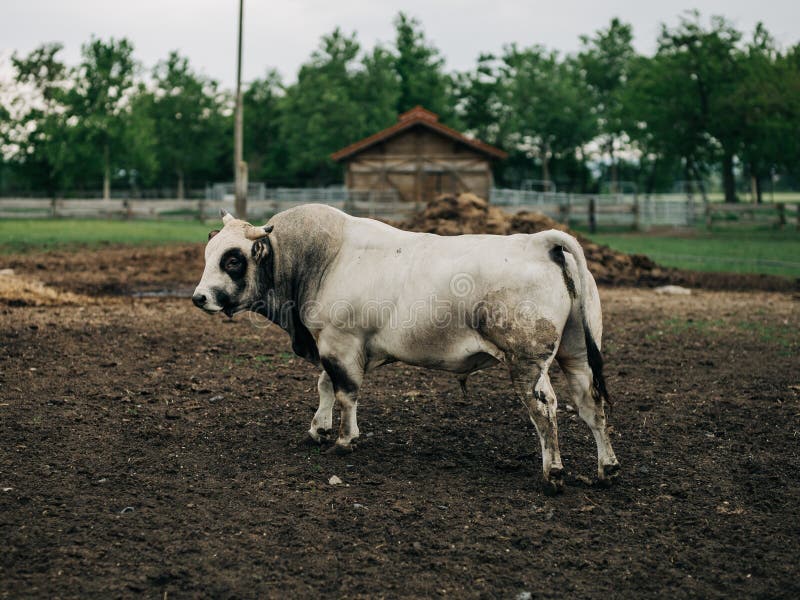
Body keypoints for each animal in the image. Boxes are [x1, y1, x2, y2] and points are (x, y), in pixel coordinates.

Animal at [192, 205, 619, 494]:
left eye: (233, 259)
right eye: (209, 254)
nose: (199, 297)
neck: (323, 257)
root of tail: (539, 242)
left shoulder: (340, 343)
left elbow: (345, 393)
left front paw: (344, 440)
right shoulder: (341, 347)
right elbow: (325, 386)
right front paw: (319, 429)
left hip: (527, 363)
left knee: (545, 408)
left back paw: (554, 473)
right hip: (576, 355)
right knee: (590, 403)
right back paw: (607, 468)